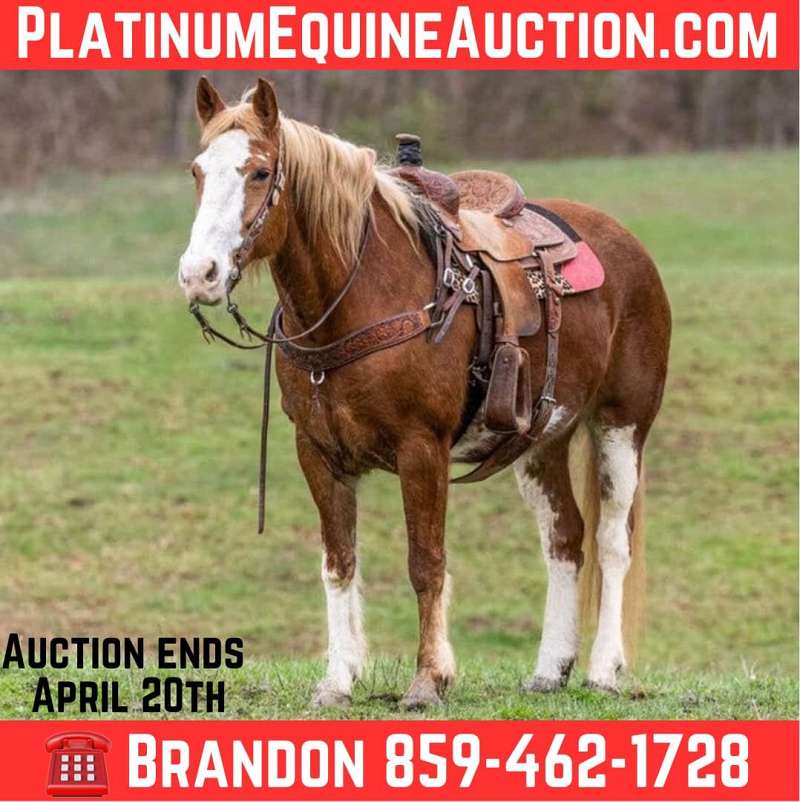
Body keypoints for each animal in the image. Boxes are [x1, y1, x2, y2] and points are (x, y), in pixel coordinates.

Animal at [178, 77, 671, 710]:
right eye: (198, 170)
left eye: (260, 172)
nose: (200, 274)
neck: (363, 297)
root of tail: (628, 246)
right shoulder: (317, 453)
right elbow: (339, 562)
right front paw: (337, 680)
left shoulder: (422, 450)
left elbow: (426, 563)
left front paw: (428, 680)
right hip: (541, 442)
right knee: (565, 539)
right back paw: (549, 669)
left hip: (621, 424)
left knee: (612, 541)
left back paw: (604, 669)